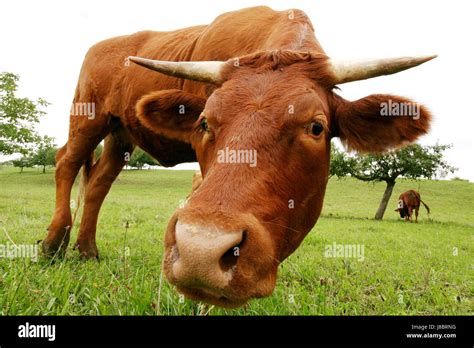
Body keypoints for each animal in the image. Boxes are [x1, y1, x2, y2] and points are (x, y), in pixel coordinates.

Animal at [42, 6, 436, 308]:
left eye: (316, 127)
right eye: (203, 122)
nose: (200, 252)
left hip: (120, 135)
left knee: (98, 184)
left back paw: (87, 250)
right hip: (87, 116)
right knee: (66, 163)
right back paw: (53, 243)